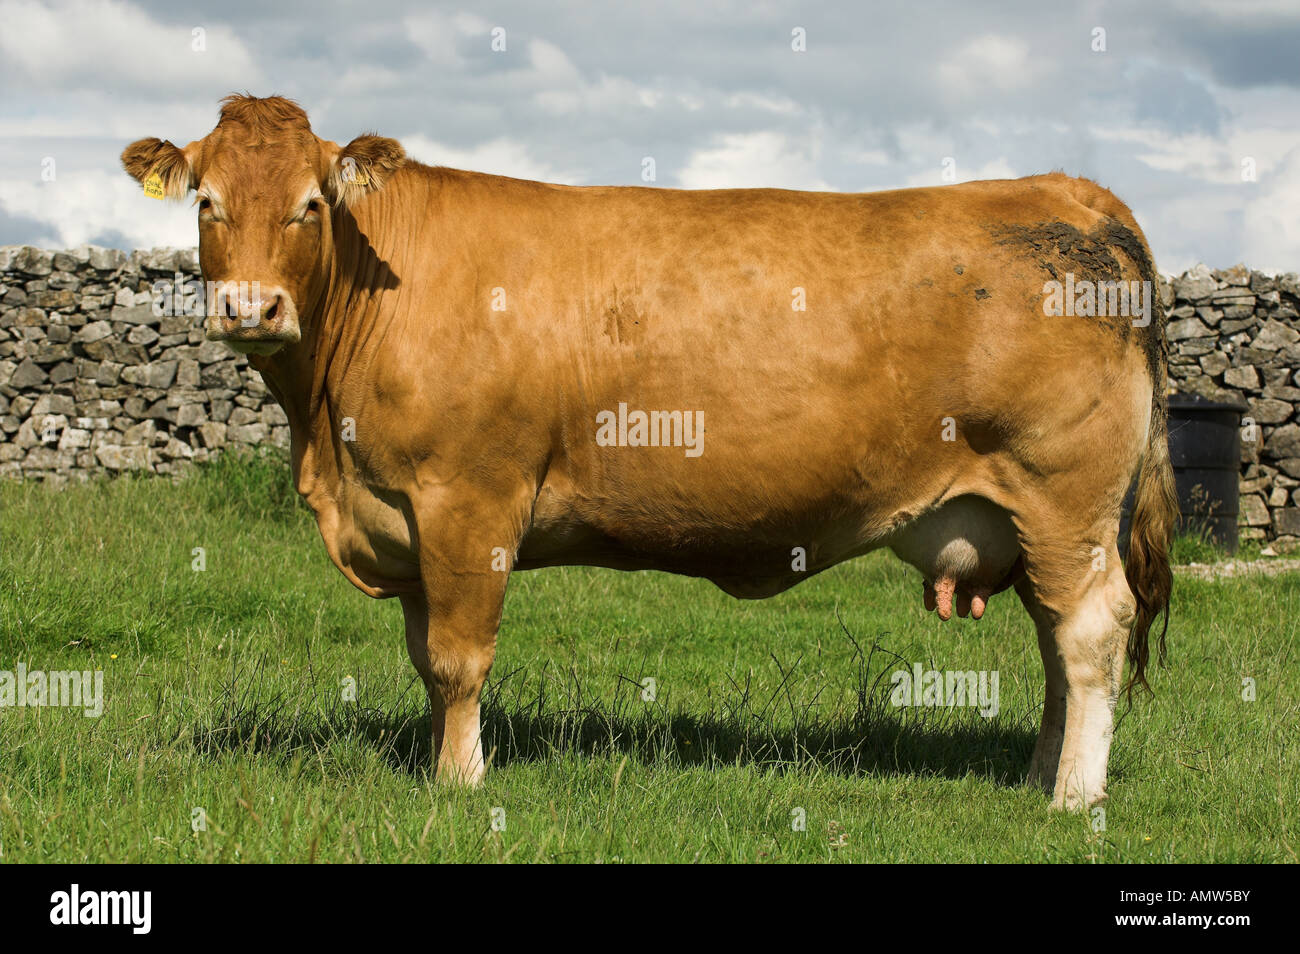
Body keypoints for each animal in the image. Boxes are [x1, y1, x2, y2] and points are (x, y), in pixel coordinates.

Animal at [122, 95, 1176, 810]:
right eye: (207, 201)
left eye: (310, 204)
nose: (251, 308)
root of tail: (1076, 194)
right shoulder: (406, 516)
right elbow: (426, 659)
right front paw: (438, 763)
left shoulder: (468, 498)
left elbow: (459, 659)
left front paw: (461, 784)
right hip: (1032, 520)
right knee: (1055, 641)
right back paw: (1039, 773)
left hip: (1066, 499)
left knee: (1089, 634)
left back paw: (1073, 796)